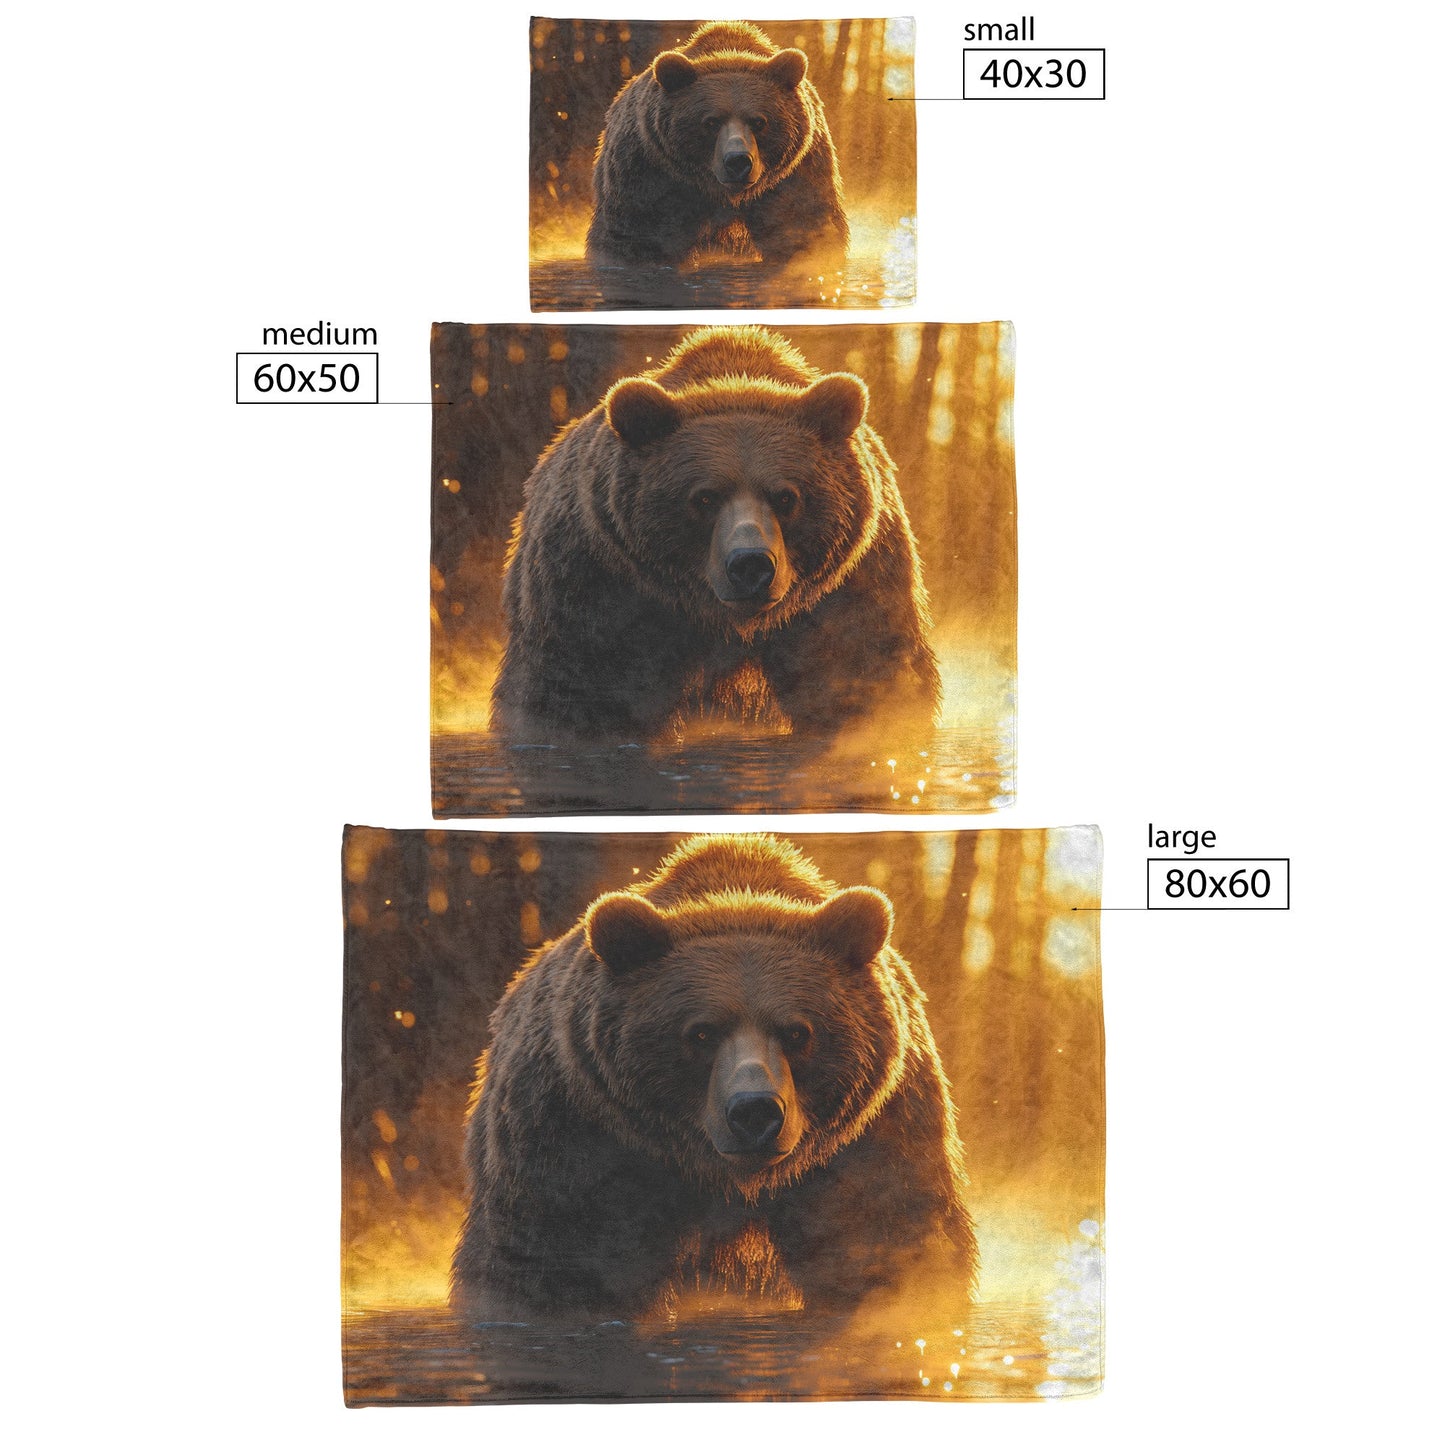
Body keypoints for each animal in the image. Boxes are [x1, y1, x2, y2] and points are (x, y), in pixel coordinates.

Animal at [451, 833, 977, 1320]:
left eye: (797, 1032)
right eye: (701, 1033)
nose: (755, 1112)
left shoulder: (874, 1134)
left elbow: (887, 1240)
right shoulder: (578, 1131)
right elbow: (554, 1259)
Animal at [492, 326, 942, 741]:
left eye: (785, 496)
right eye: (704, 498)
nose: (751, 565)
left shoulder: (852, 584)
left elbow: (863, 674)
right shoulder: (599, 582)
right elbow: (582, 690)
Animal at [585, 22, 849, 270]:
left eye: (759, 121)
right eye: (711, 122)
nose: (738, 161)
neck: (723, 194)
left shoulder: (796, 174)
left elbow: (803, 226)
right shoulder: (651, 171)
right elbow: (639, 236)